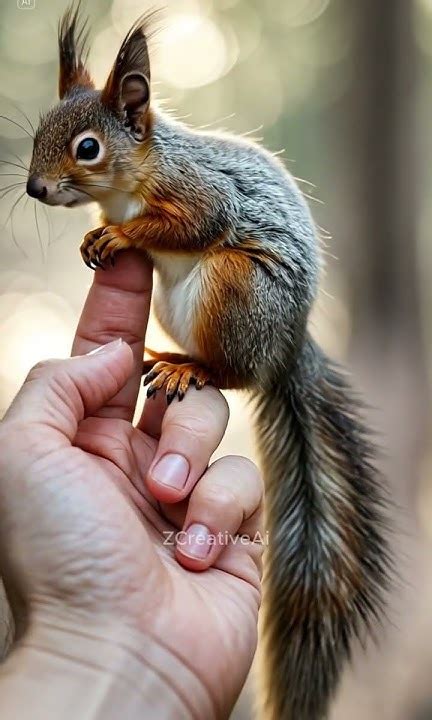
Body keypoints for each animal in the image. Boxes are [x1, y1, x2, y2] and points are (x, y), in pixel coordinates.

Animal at [26, 7, 391, 720]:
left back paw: (189, 368)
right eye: (34, 136)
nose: (33, 187)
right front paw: (96, 234)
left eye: (88, 148)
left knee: (235, 372)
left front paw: (120, 234)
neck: (135, 177)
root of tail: (288, 345)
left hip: (235, 289)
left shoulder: (199, 193)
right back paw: (173, 354)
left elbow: (192, 224)